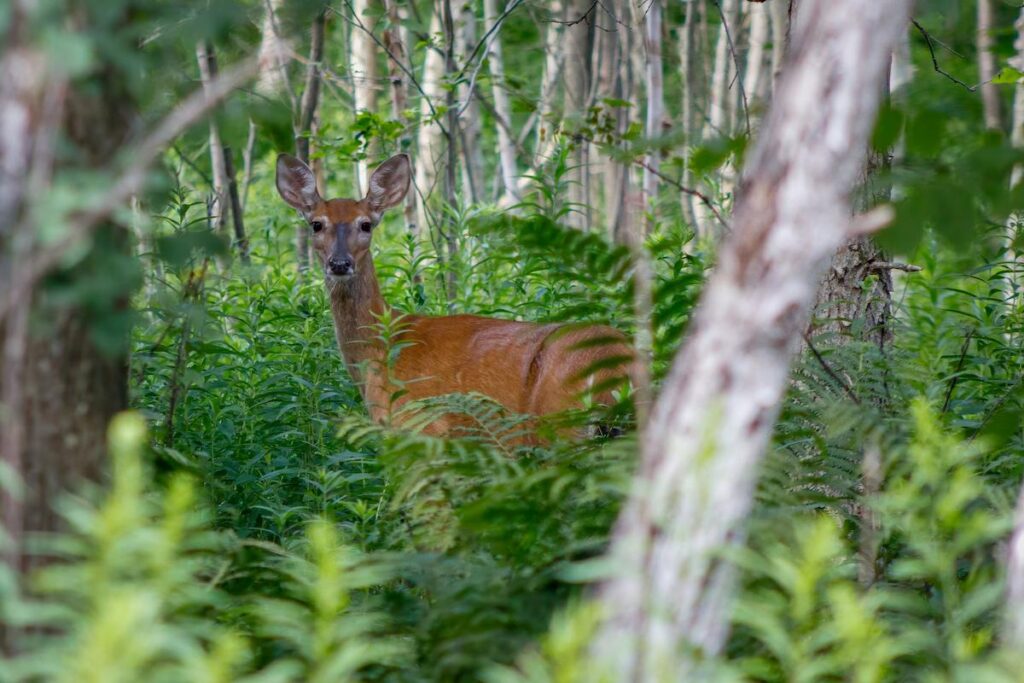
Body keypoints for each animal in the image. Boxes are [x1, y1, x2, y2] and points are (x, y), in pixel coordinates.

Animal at [275, 152, 635, 437]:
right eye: (316, 224)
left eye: (366, 224)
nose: (339, 263)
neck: (382, 348)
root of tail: (616, 369)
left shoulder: (424, 428)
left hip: (558, 424)